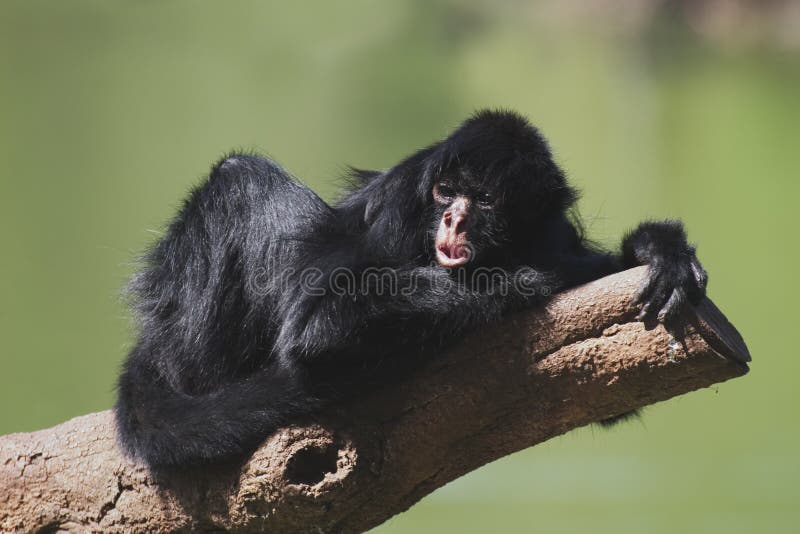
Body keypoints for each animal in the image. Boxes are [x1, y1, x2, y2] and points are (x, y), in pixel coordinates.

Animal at [114, 110, 708, 468]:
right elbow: (319, 325)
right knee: (240, 177)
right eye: (446, 191)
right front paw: (529, 280)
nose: (453, 220)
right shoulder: (401, 206)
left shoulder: (551, 229)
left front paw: (658, 250)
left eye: (483, 199)